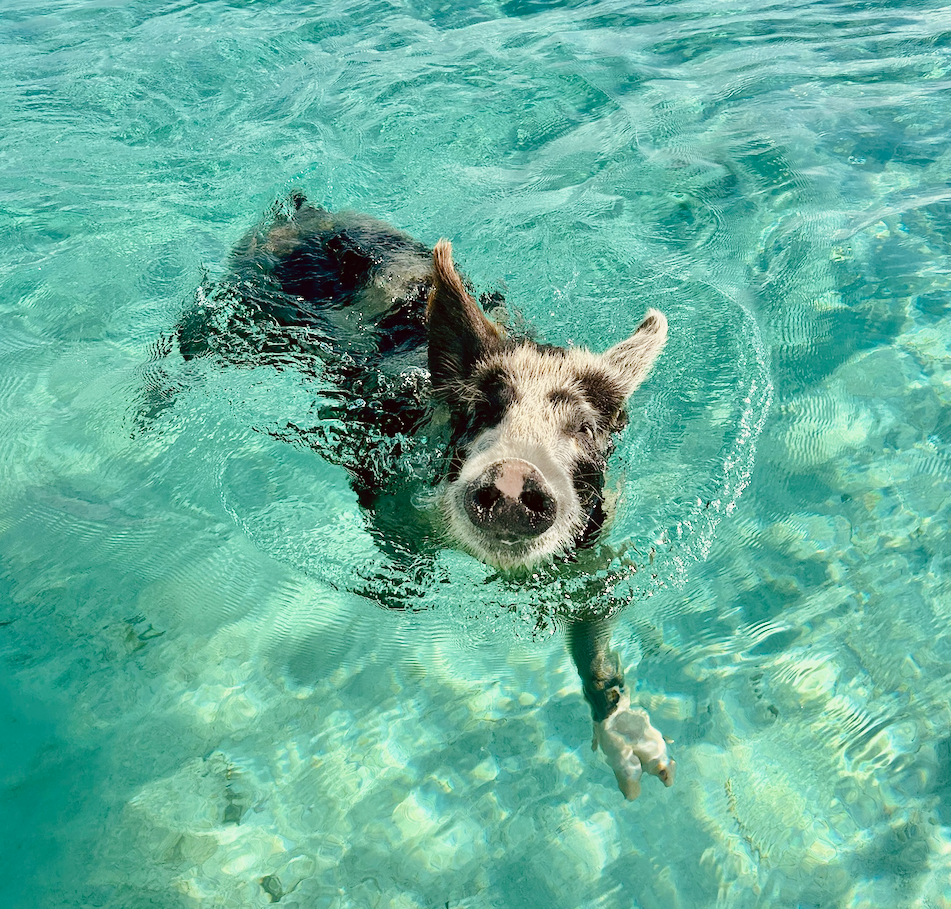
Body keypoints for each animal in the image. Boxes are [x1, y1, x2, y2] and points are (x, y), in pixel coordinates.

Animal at [172, 195, 675, 798]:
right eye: (484, 406)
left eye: (586, 429)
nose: (516, 473)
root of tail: (305, 209)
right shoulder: (391, 491)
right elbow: (399, 564)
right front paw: (404, 589)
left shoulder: (593, 551)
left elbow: (594, 626)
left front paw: (648, 770)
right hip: (238, 296)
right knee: (188, 337)